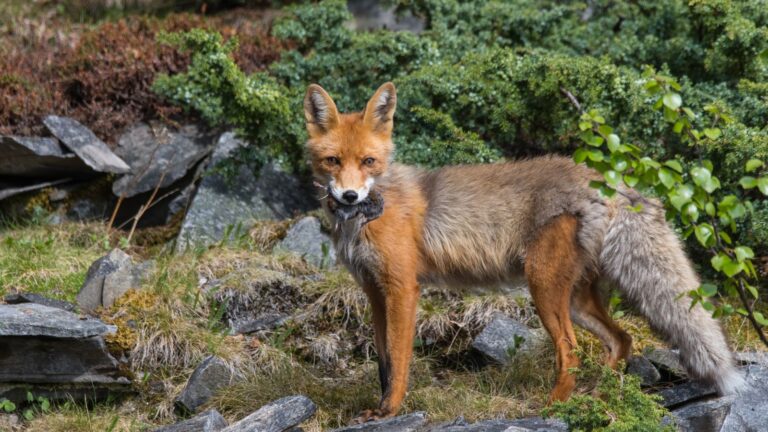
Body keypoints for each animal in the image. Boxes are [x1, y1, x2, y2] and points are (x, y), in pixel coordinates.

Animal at [303, 82, 745, 423]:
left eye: (368, 161)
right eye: (333, 161)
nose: (349, 195)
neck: (366, 218)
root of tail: (601, 178)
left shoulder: (402, 289)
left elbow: (398, 362)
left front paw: (391, 411)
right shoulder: (374, 292)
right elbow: (382, 361)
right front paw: (378, 410)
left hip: (544, 288)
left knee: (571, 352)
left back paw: (554, 407)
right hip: (577, 300)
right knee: (621, 340)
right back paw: (595, 397)